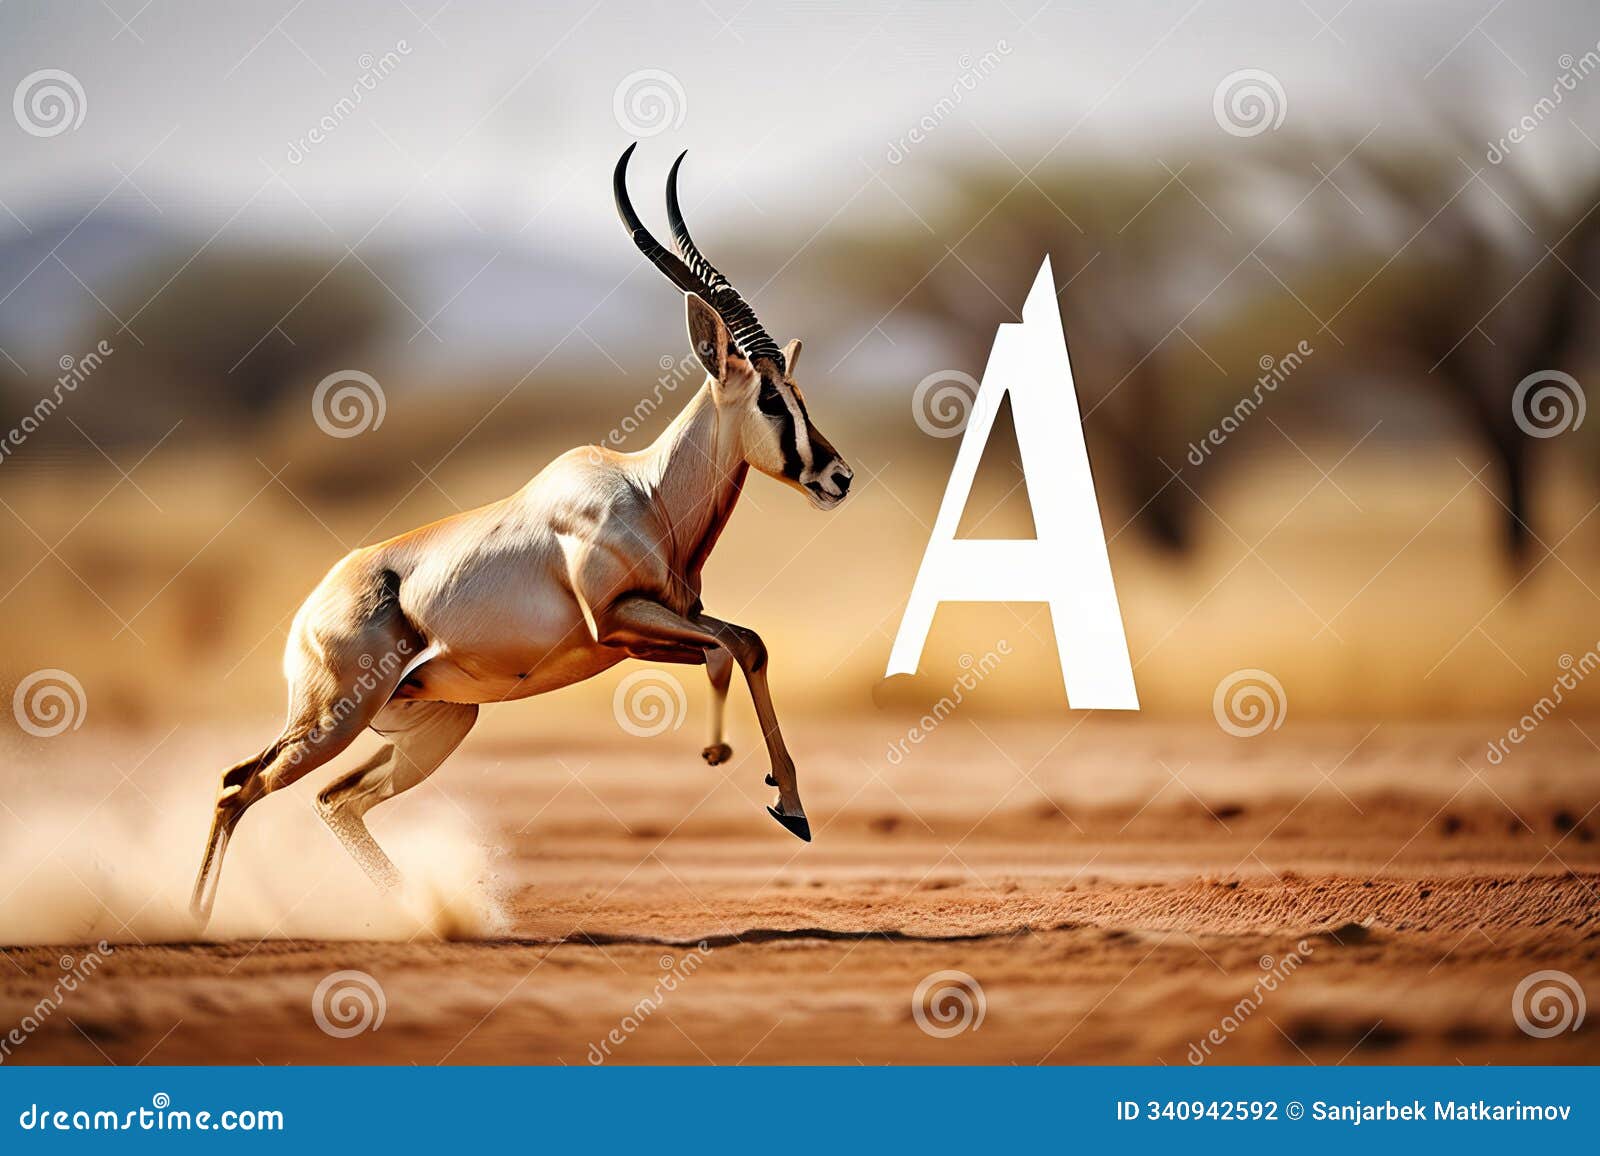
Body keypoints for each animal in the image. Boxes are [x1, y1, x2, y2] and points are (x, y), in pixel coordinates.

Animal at [189, 145, 854, 928]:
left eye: (799, 393)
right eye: (772, 399)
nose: (839, 477)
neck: (648, 493)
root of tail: (313, 606)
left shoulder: (664, 623)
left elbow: (746, 644)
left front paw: (793, 809)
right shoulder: (619, 624)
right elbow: (729, 650)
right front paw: (724, 759)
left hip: (437, 726)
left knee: (332, 800)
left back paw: (430, 917)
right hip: (333, 720)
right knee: (239, 784)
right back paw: (195, 923)